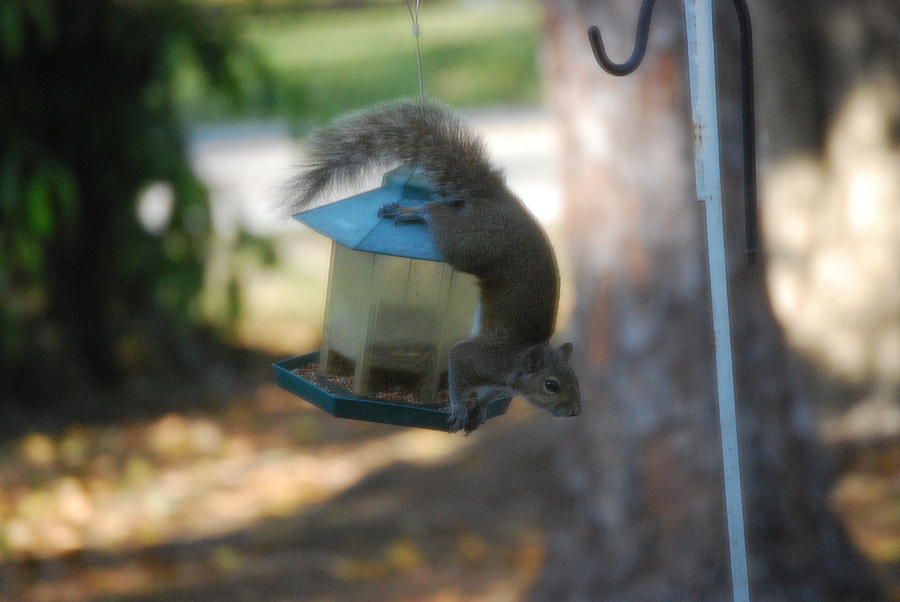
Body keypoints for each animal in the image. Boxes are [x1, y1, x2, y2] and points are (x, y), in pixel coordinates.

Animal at [287, 98, 580, 433]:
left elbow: (484, 395)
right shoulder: (477, 359)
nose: (575, 412)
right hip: (467, 245)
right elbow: (458, 364)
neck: (516, 365)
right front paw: (459, 408)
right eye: (551, 385)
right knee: (437, 211)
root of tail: (499, 197)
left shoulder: (495, 383)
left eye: (576, 380)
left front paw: (478, 410)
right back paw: (413, 211)